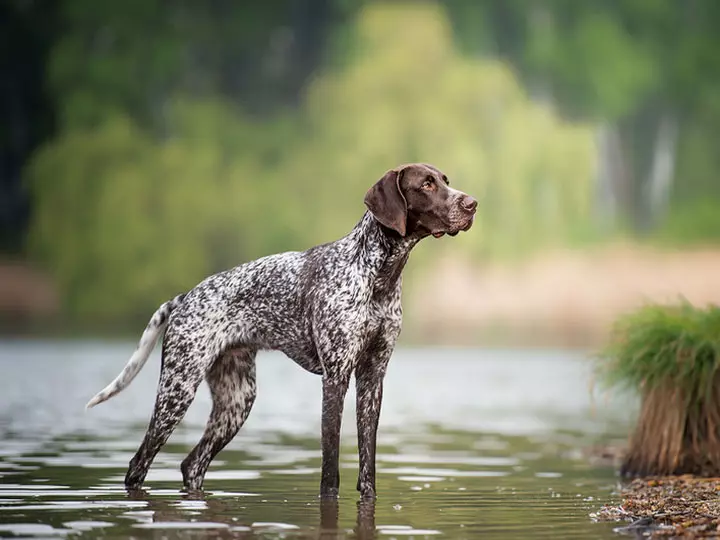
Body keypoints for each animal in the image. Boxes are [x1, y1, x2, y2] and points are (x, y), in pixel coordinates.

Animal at [87, 162, 476, 500]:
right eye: (426, 184)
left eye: (445, 180)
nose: (472, 204)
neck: (378, 275)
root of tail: (184, 297)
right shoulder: (335, 378)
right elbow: (330, 471)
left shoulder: (372, 380)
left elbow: (367, 469)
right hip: (177, 391)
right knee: (139, 464)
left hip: (236, 401)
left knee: (192, 464)